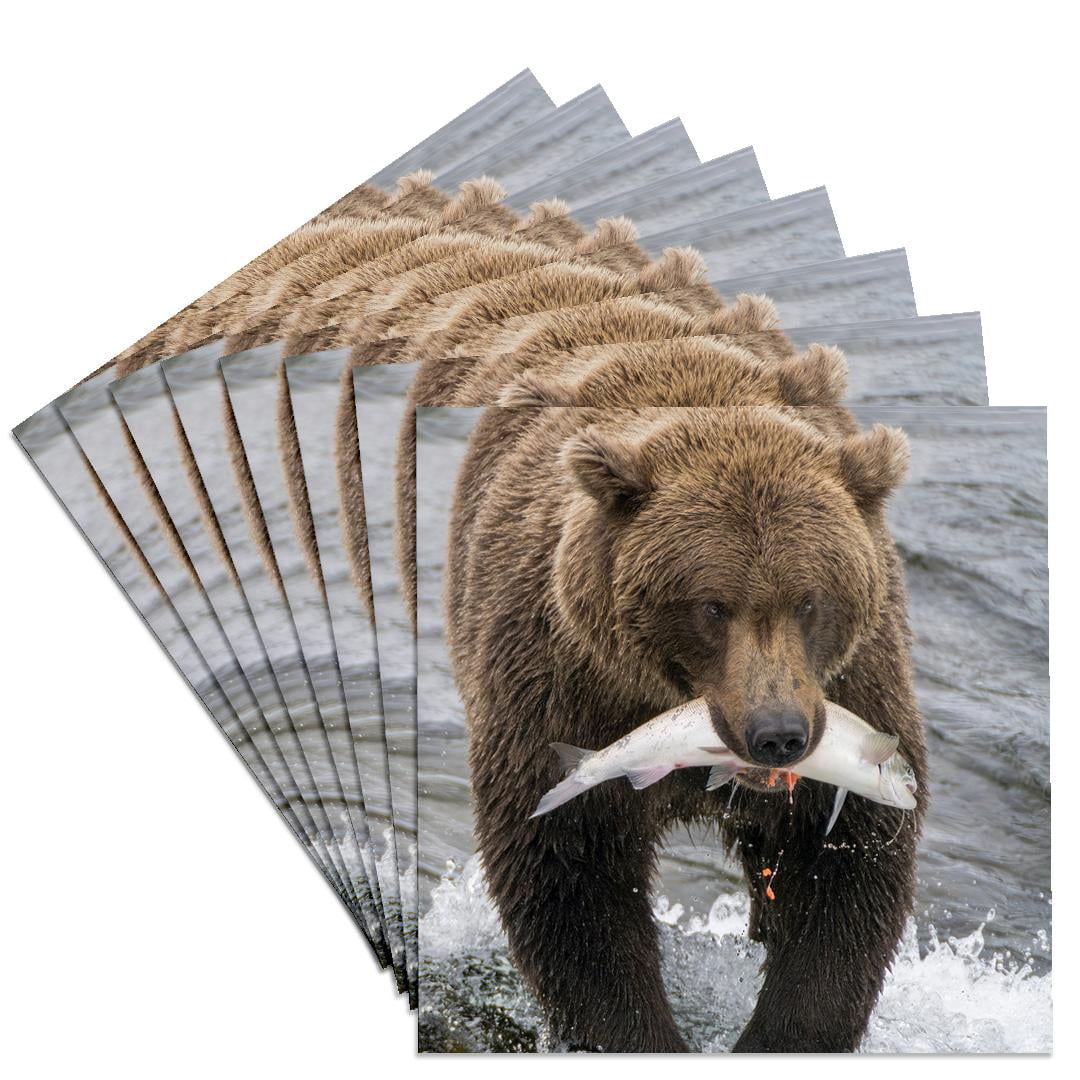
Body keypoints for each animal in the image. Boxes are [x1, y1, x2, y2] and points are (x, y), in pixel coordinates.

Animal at [446, 396, 926, 1052]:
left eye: (809, 601)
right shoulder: (556, 683)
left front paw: (778, 1034)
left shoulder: (858, 684)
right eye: (713, 606)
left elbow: (845, 875)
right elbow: (571, 881)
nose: (778, 735)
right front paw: (639, 1032)